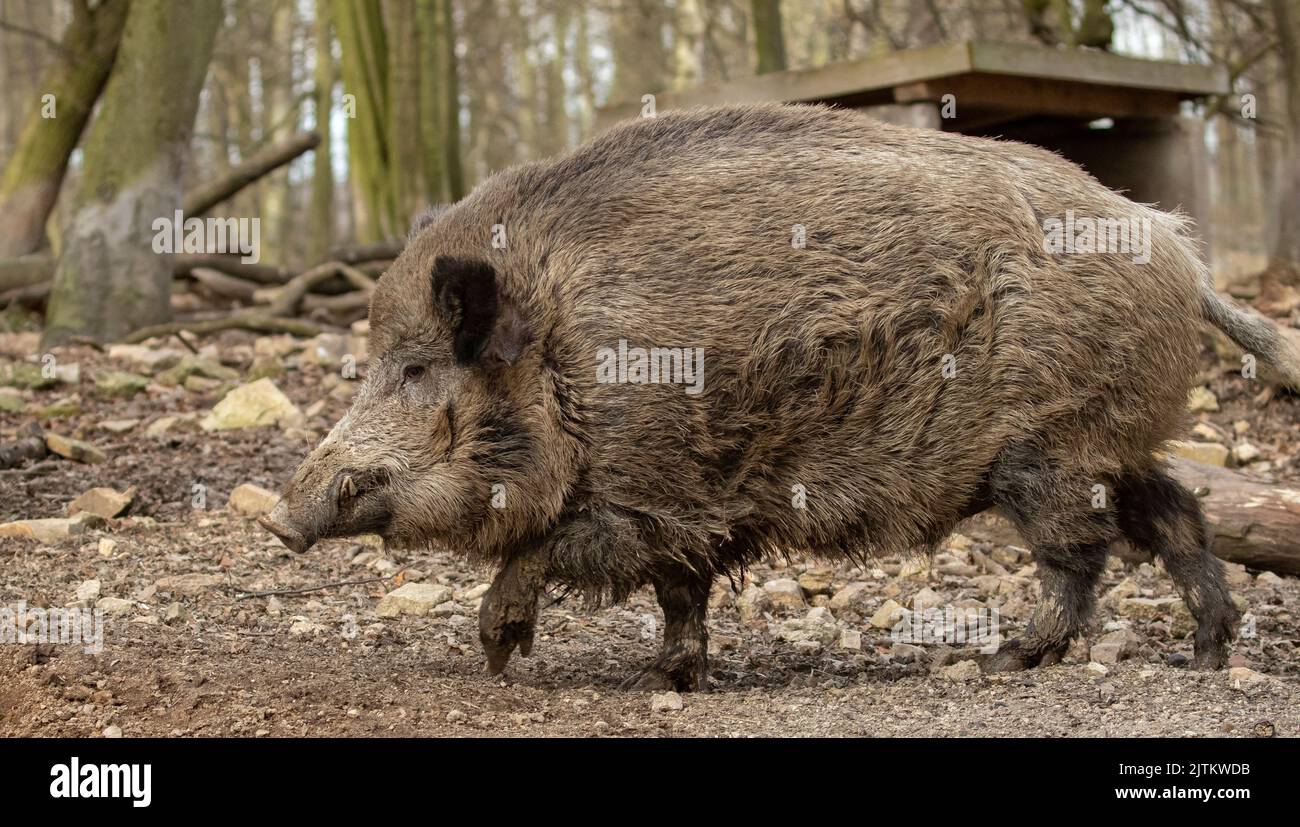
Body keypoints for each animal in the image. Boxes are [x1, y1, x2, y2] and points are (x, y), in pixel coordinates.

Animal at [261, 103, 1300, 690]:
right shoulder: (688, 512)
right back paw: (1209, 653)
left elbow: (551, 550)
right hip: (1113, 437)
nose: (277, 518)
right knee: (1177, 512)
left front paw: (496, 654)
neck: (568, 356)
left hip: (1045, 446)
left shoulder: (648, 492)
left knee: (1082, 552)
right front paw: (675, 678)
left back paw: (1004, 661)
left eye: (416, 369)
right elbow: (680, 592)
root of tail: (1180, 253)